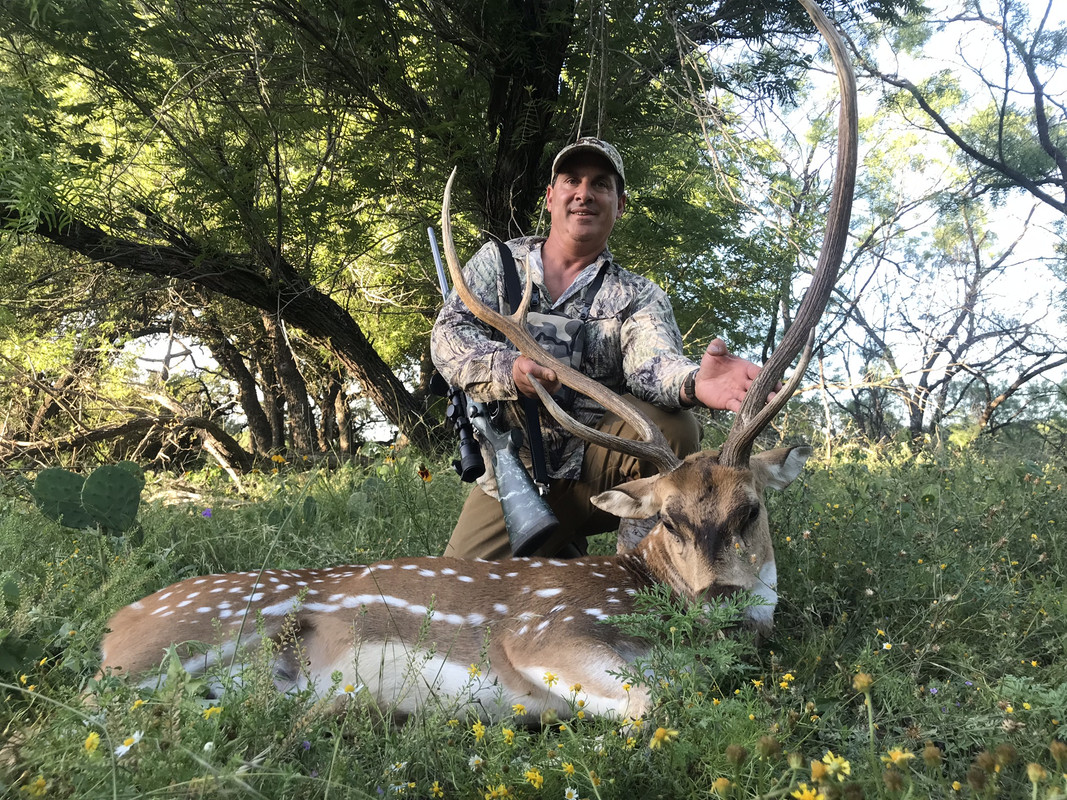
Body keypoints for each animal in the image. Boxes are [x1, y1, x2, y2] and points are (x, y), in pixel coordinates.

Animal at [97, 0, 856, 726]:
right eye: (667, 520)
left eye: (750, 509)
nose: (718, 605)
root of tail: (112, 625)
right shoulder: (544, 629)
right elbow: (656, 703)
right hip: (176, 644)